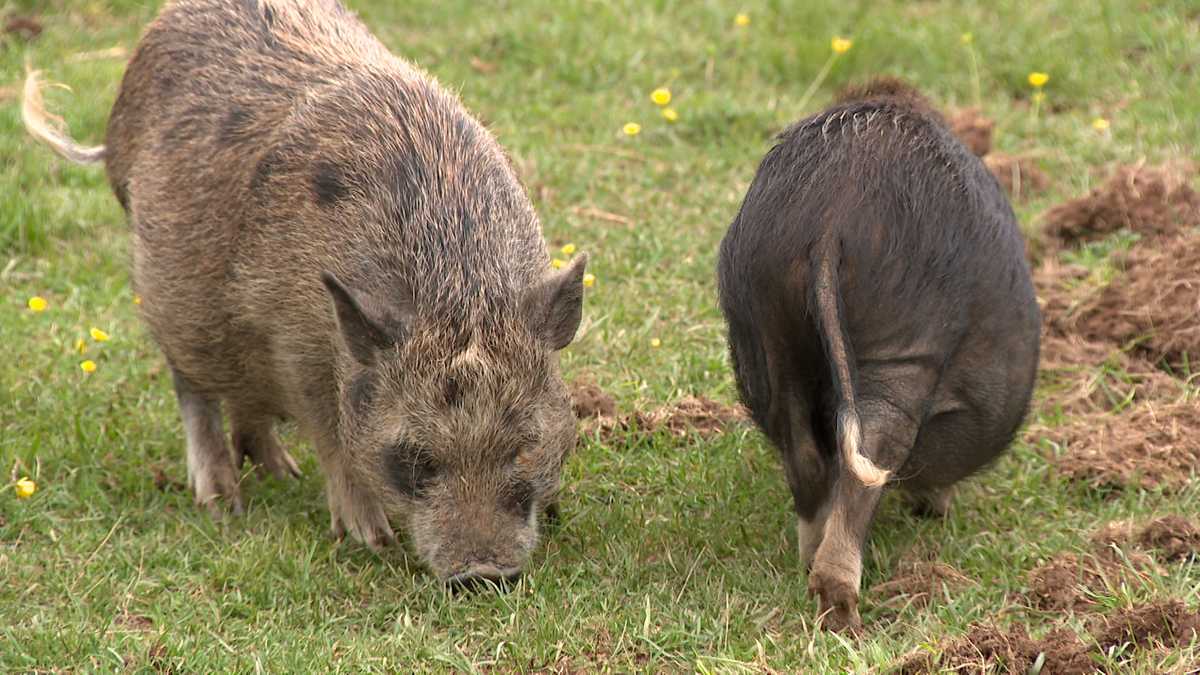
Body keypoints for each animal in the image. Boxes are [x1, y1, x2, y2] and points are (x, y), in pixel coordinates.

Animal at [22, 0, 586, 586]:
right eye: (417, 458)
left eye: (524, 446)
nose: (481, 574)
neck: (454, 288)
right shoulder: (292, 340)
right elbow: (331, 433)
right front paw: (371, 540)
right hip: (171, 302)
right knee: (194, 388)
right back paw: (224, 503)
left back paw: (283, 475)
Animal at [716, 77, 1040, 631]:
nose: (936, 509)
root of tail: (829, 220)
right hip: (906, 339)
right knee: (875, 441)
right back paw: (843, 613)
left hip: (767, 324)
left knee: (802, 447)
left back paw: (809, 565)